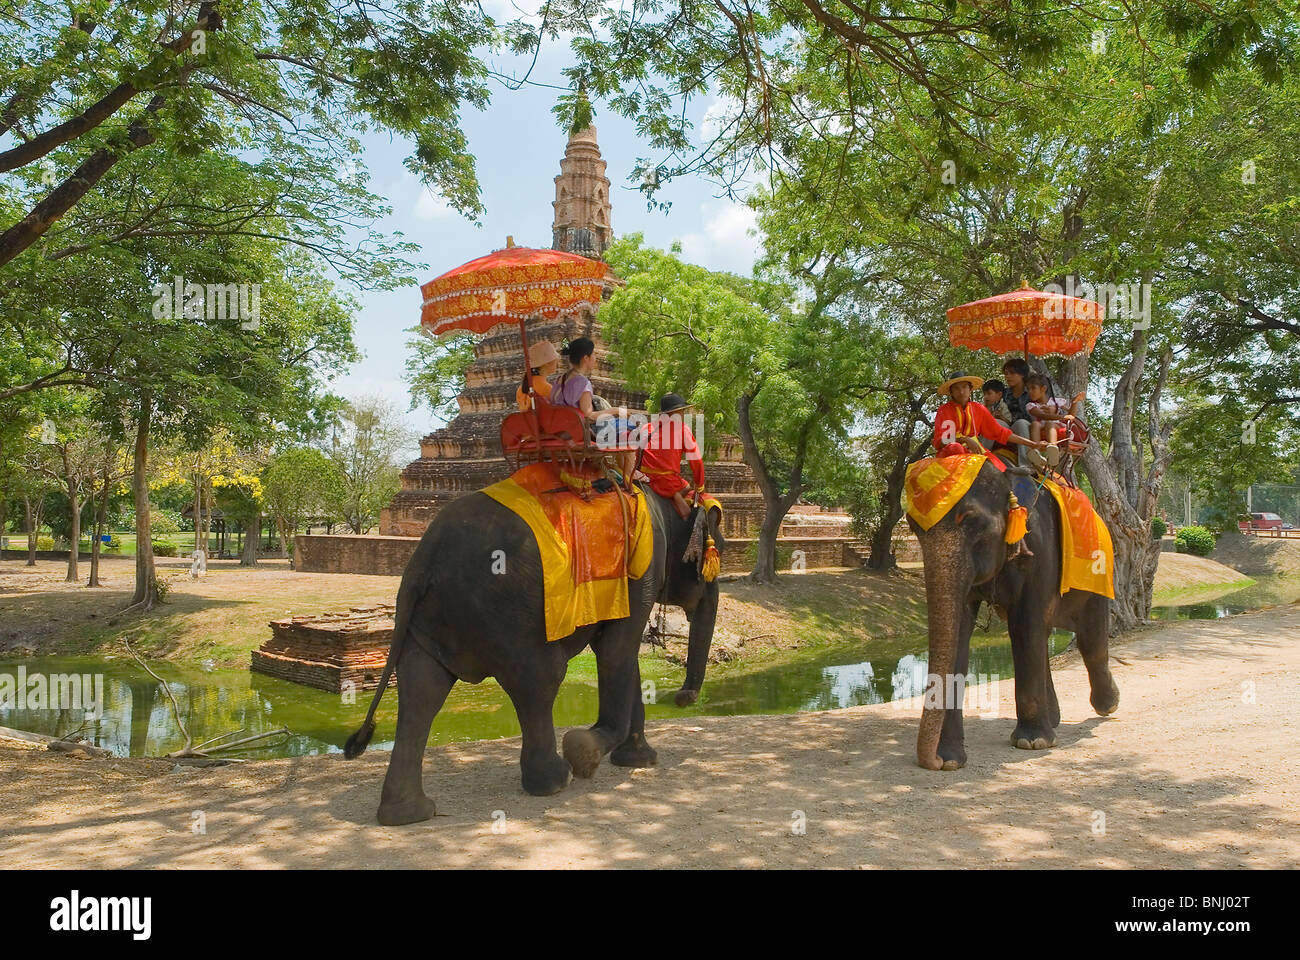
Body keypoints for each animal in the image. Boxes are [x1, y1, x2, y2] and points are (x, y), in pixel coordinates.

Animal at [343, 484, 724, 825]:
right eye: (714, 556)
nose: (682, 698)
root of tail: (425, 558)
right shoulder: (641, 567)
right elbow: (617, 649)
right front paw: (585, 752)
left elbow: (619, 652)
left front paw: (638, 760)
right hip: (507, 613)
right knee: (540, 680)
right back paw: (555, 780)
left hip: (433, 618)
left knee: (421, 692)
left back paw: (407, 814)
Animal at [907, 462, 1120, 771]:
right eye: (913, 527)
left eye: (970, 519)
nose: (932, 761)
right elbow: (960, 633)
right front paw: (950, 759)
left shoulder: (1040, 549)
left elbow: (1025, 626)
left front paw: (1032, 743)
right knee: (1048, 637)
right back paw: (1054, 719)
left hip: (1099, 574)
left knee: (1090, 641)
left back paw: (1107, 705)